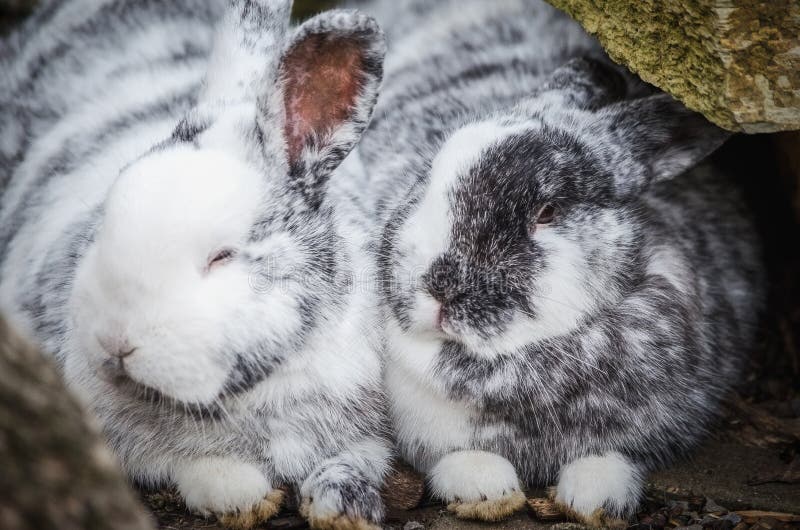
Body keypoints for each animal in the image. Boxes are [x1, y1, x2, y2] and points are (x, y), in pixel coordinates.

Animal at [0, 1, 390, 528]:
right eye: (105, 215)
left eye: (221, 256)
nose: (116, 341)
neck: (248, 395)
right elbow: (199, 468)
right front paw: (244, 497)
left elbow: (359, 458)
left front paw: (343, 503)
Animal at [353, 0, 766, 524]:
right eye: (427, 173)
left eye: (547, 213)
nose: (438, 289)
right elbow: (462, 458)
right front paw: (484, 490)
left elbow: (606, 460)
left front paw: (596, 498)